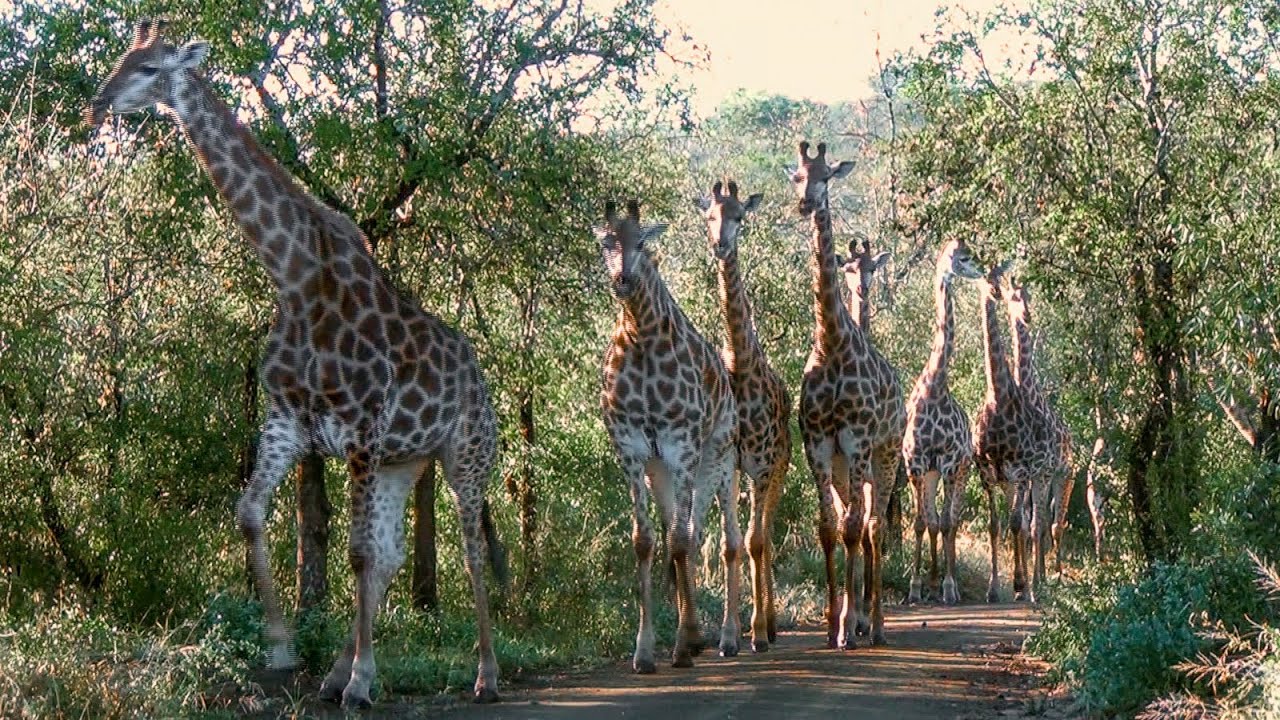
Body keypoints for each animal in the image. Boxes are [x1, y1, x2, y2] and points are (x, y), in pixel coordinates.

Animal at [87, 22, 503, 708]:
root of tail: (480, 377)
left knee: (468, 550)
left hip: (464, 454)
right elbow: (251, 514)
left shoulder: (361, 427)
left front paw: (362, 681)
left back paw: (482, 676)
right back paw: (337, 671)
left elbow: (355, 553)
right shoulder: (289, 422)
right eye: (120, 59)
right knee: (394, 553)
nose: (98, 104)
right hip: (406, 460)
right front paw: (283, 649)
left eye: (148, 68)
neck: (295, 281)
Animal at [597, 199, 743, 672]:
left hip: (719, 459)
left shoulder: (683, 445)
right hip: (663, 469)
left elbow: (679, 541)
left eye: (642, 244)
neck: (640, 336)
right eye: (606, 243)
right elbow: (646, 542)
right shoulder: (631, 449)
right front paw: (644, 651)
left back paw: (729, 637)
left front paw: (681, 646)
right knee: (690, 535)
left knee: (726, 540)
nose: (623, 280)